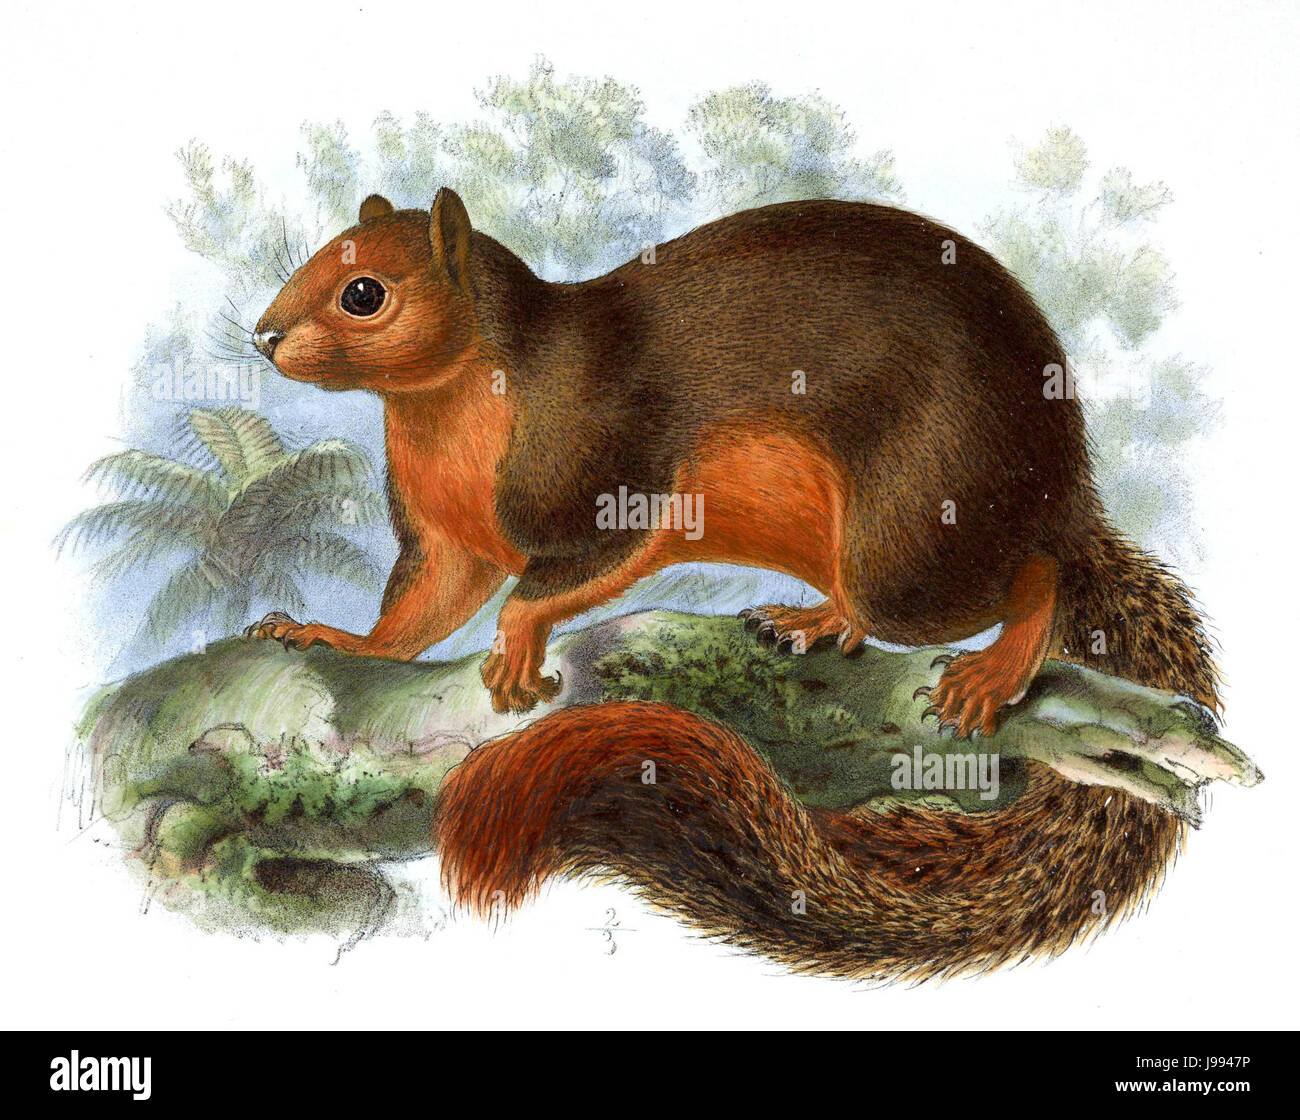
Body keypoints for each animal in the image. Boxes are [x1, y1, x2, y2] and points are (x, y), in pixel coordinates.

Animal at [247, 188, 1220, 980]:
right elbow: (419, 611)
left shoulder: (610, 467)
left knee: (1031, 576)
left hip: (917, 535)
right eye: (313, 258)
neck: (450, 408)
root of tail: (1063, 492)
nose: (261, 336)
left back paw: (994, 663)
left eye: (364, 292)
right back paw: (818, 620)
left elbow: (577, 565)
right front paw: (329, 636)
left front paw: (518, 639)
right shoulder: (448, 541)